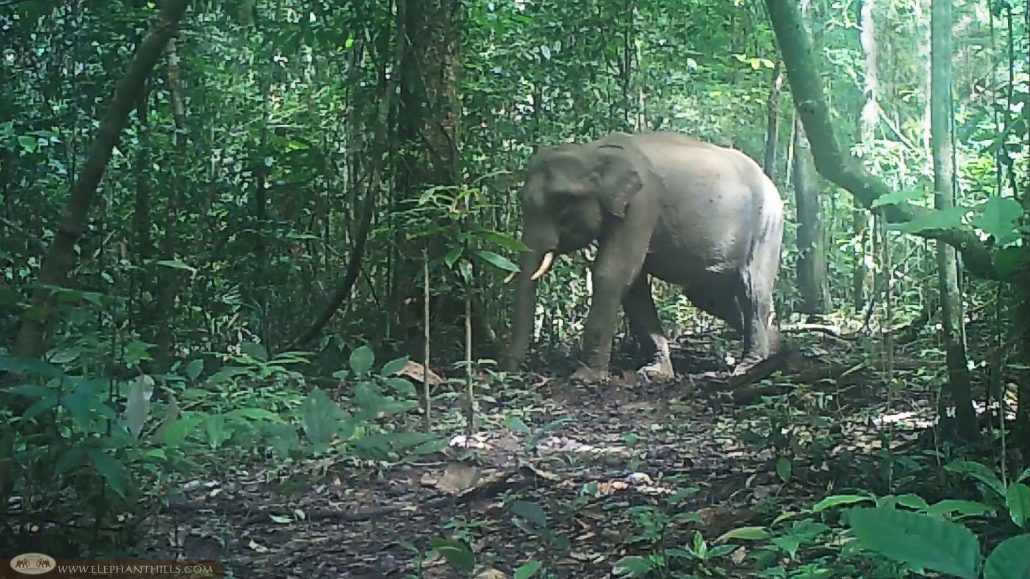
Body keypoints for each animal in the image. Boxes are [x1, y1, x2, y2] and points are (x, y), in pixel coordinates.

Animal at [501, 131, 784, 382]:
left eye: (564, 200)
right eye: (522, 199)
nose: (509, 371)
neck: (595, 150)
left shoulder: (641, 205)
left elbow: (612, 272)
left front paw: (585, 378)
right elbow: (633, 285)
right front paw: (655, 373)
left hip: (767, 227)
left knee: (752, 291)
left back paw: (749, 366)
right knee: (707, 297)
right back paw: (776, 346)